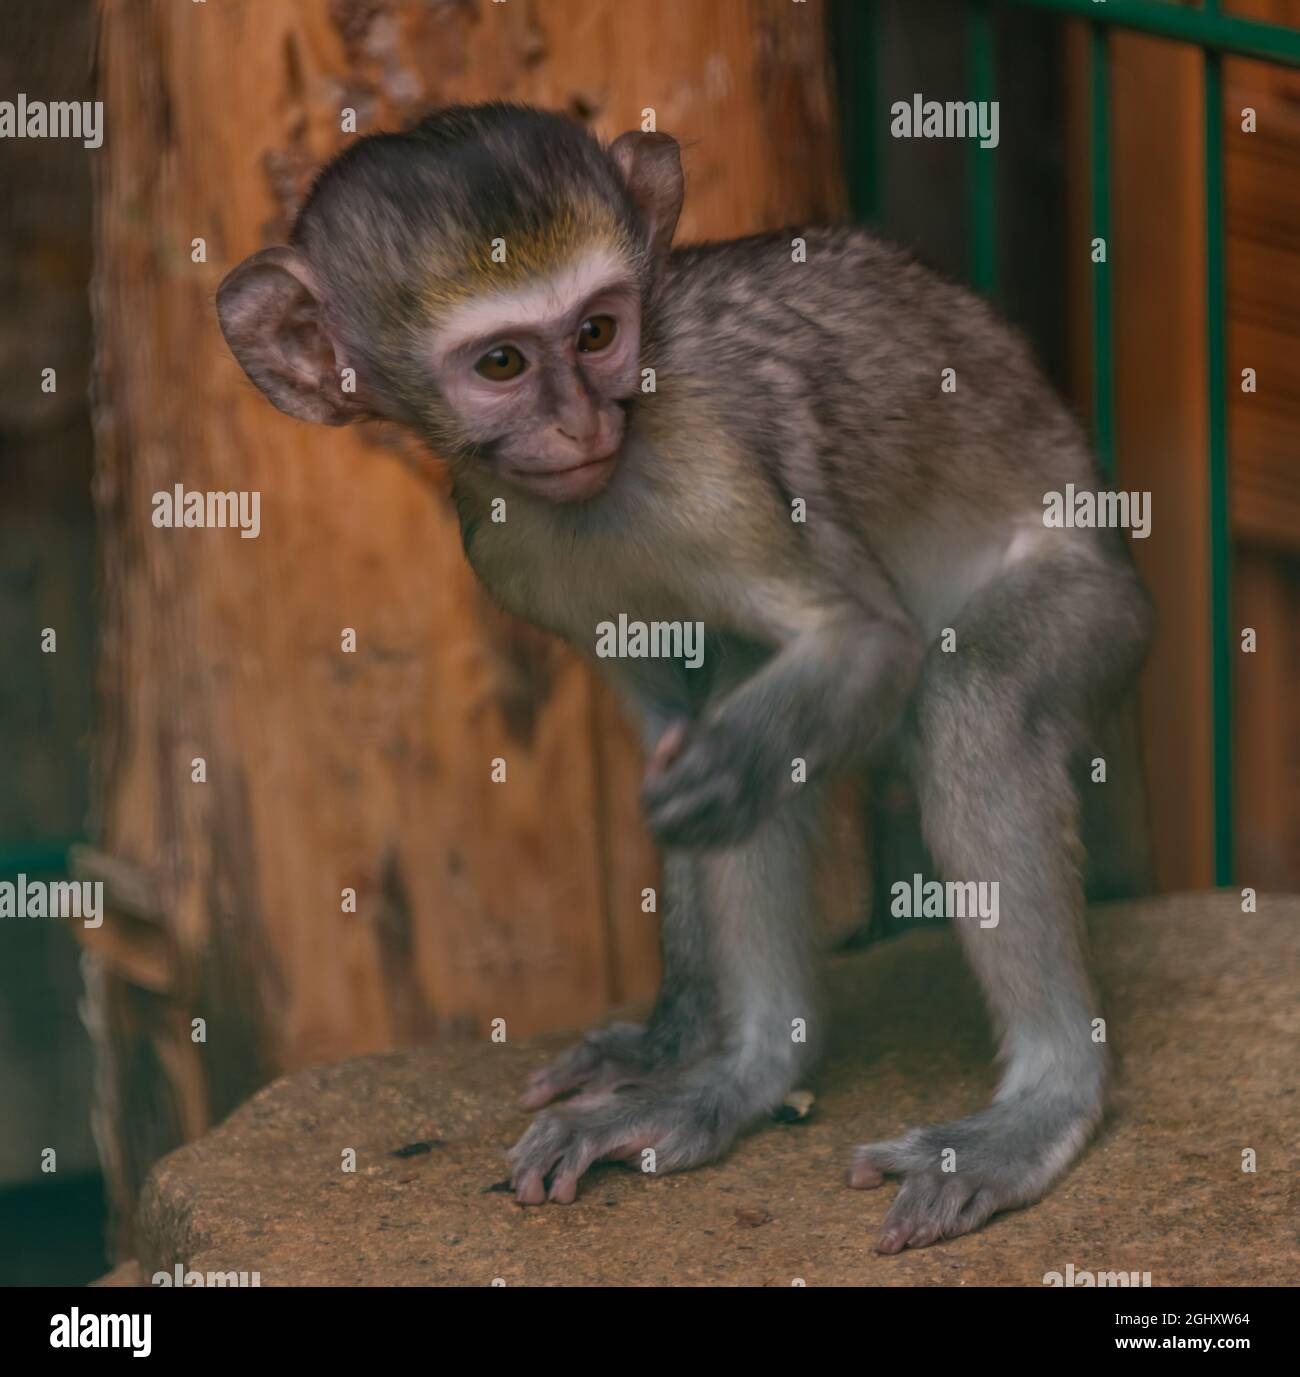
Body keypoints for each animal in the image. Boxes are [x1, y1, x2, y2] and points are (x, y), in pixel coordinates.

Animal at [217, 103, 1154, 1252]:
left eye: (596, 333)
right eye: (501, 364)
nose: (580, 423)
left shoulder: (708, 465)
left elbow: (860, 644)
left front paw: (725, 772)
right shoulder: (509, 545)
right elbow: (661, 713)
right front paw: (672, 1032)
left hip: (1096, 618)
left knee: (965, 696)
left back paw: (1030, 1100)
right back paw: (736, 1070)